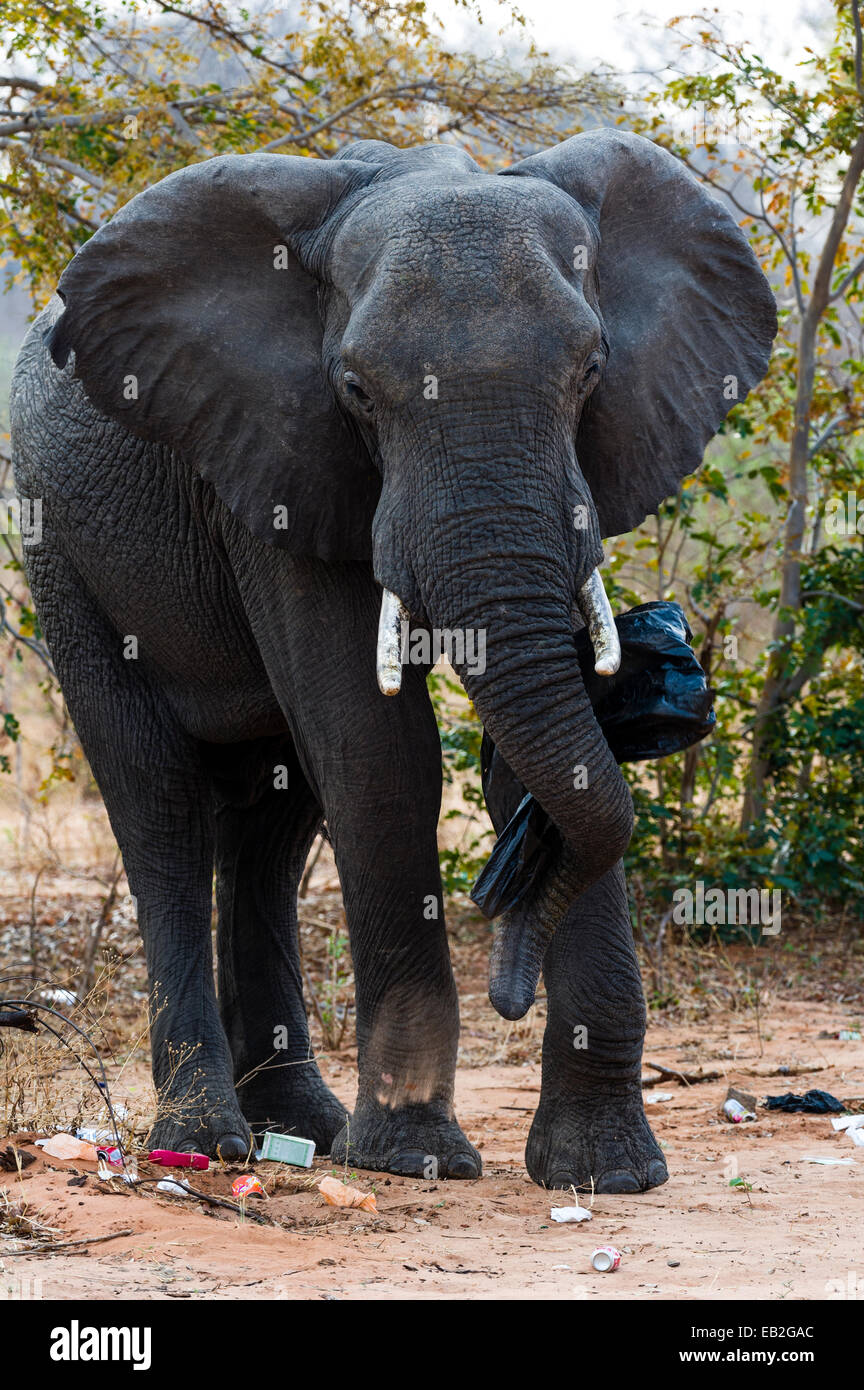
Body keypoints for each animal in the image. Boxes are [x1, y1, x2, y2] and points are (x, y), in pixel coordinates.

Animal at [10, 131, 776, 1189]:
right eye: (357, 392)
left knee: (273, 822)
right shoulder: (279, 452)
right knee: (157, 802)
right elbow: (378, 748)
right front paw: (416, 1158)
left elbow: (549, 734)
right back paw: (205, 1142)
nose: (509, 986)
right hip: (61, 551)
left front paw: (606, 1176)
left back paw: (301, 1125)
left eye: (593, 370)